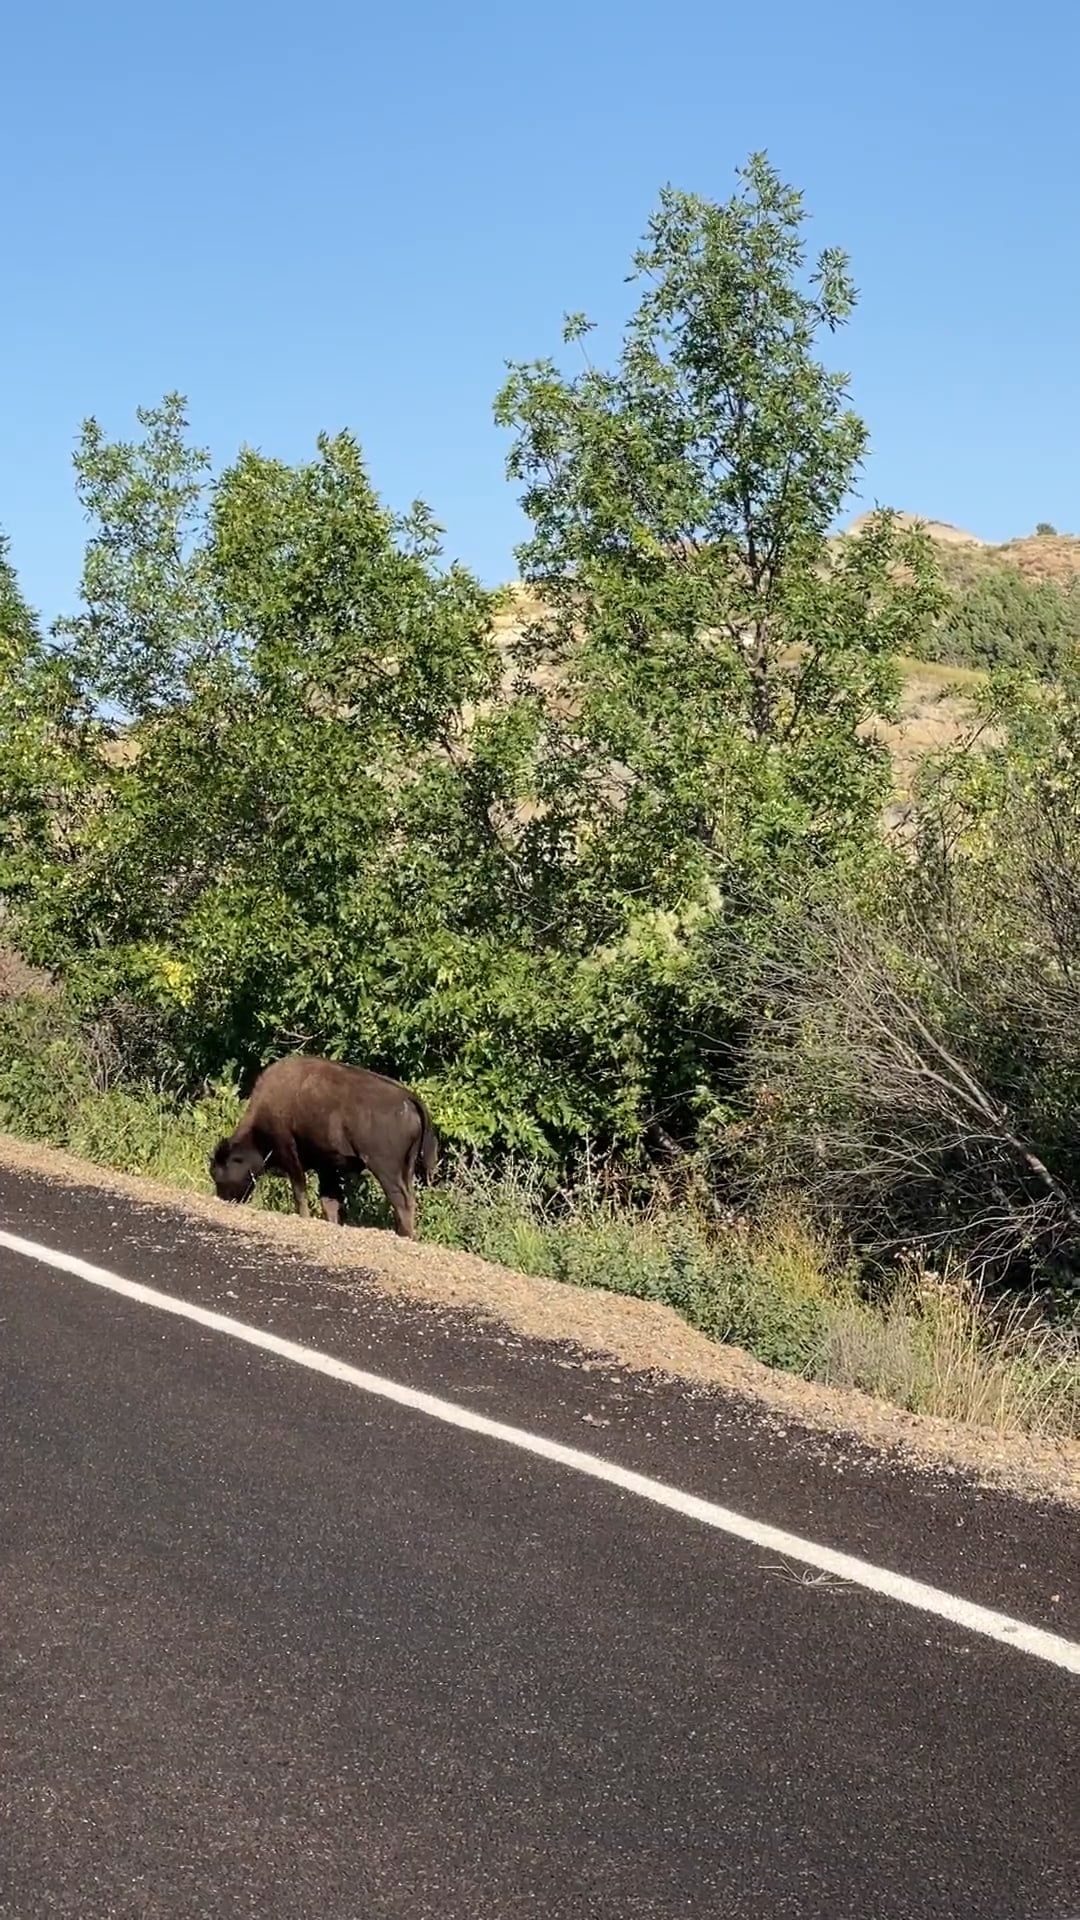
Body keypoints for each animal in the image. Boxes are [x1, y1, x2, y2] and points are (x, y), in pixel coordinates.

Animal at [209, 1055, 438, 1238]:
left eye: (220, 1172)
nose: (224, 1198)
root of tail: (409, 1098)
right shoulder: (326, 1167)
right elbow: (329, 1200)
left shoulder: (290, 1153)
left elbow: (300, 1192)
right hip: (405, 1167)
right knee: (407, 1200)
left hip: (384, 1168)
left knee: (401, 1201)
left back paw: (405, 1236)